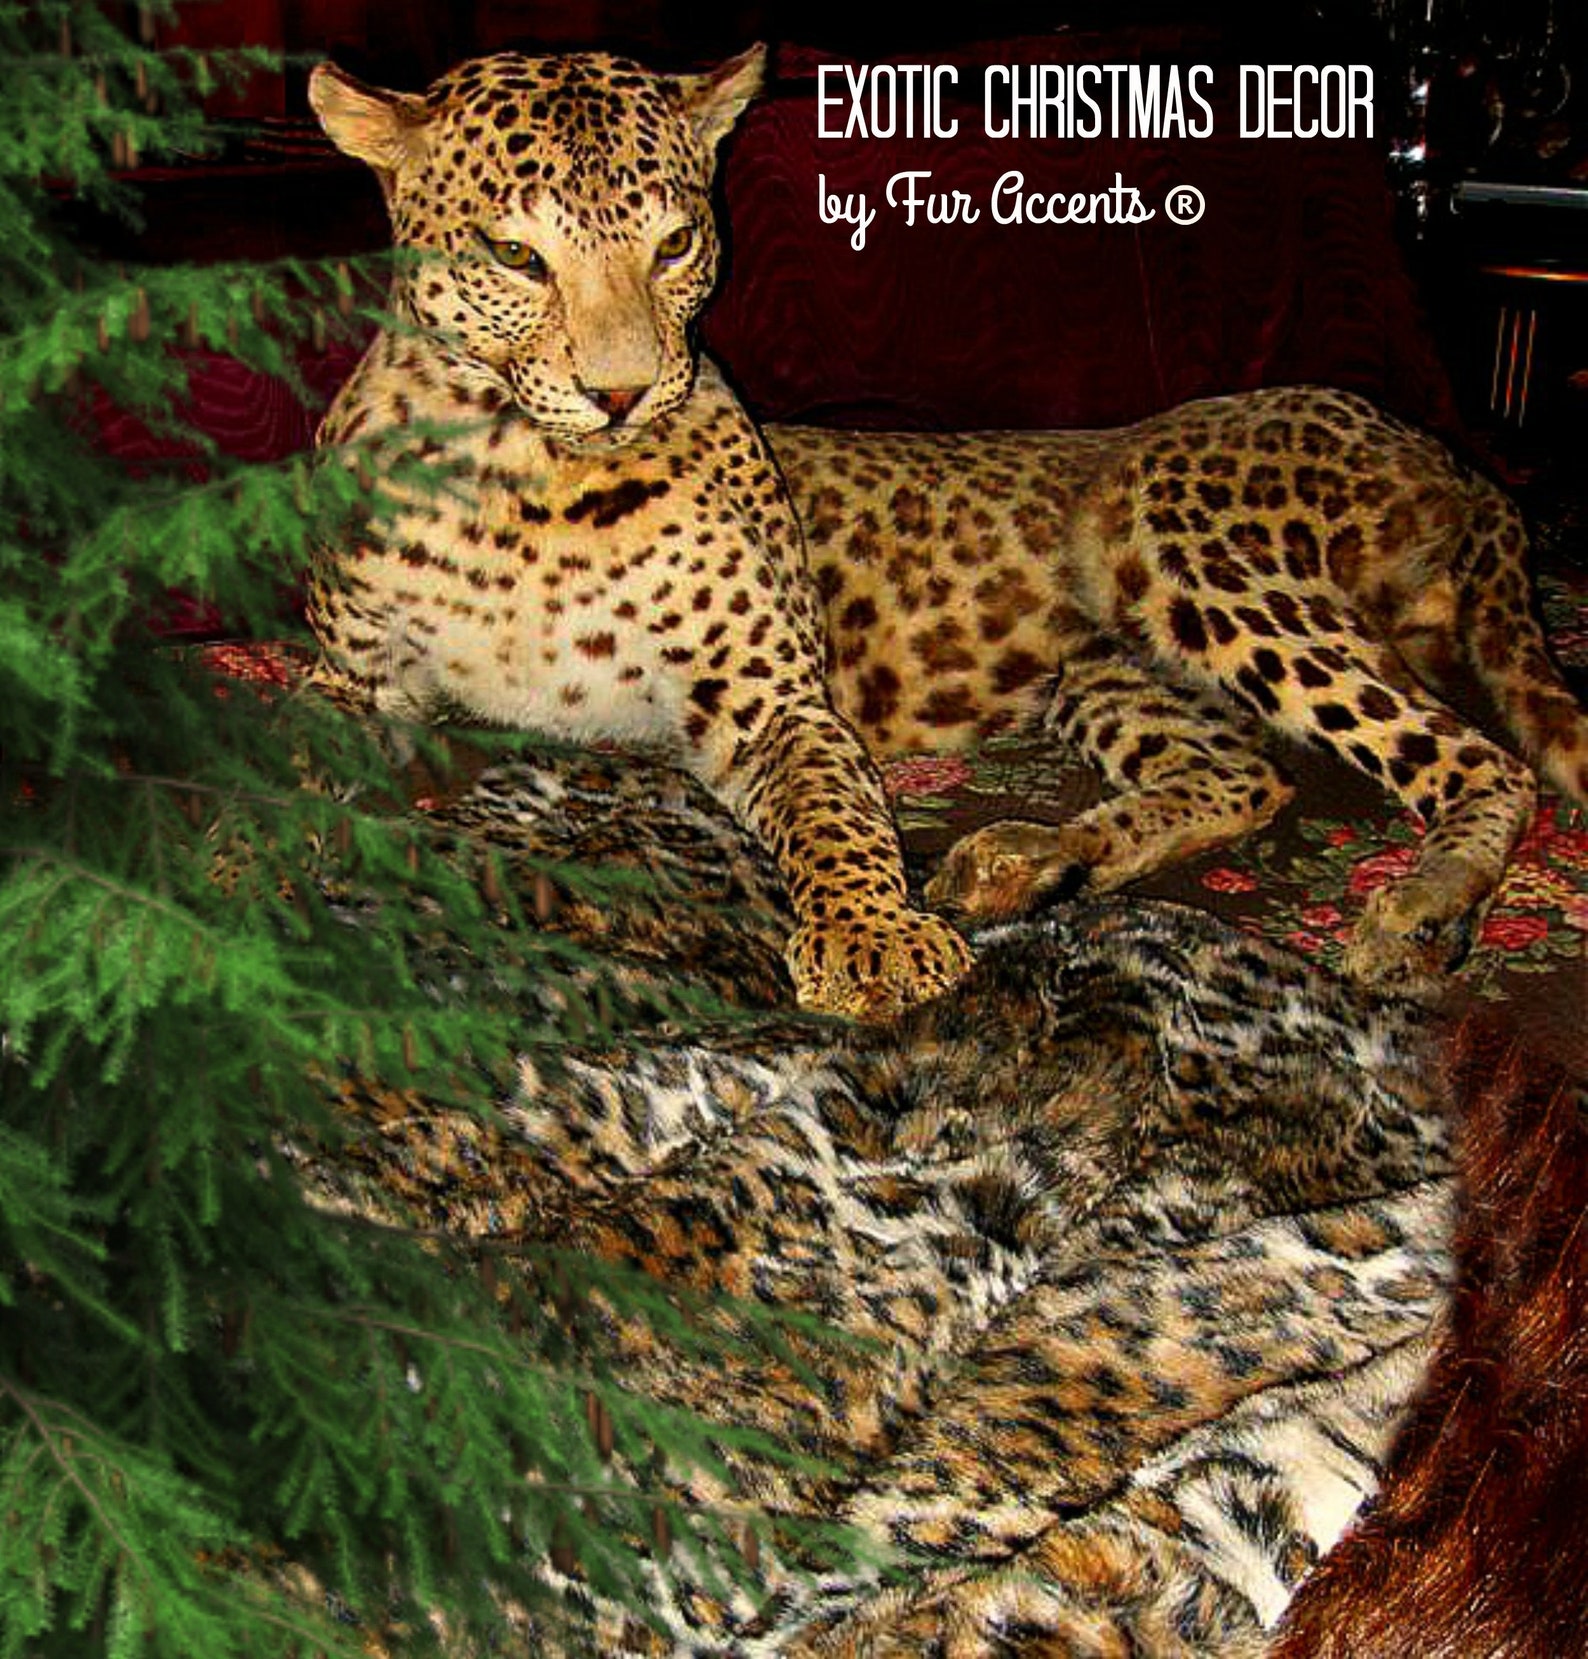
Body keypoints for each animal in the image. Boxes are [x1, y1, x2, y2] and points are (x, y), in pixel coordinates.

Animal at [305, 43, 1588, 1019]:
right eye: (515, 255)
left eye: (672, 246)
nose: (623, 393)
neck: (524, 473)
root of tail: (1447, 452)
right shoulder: (346, 678)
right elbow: (284, 767)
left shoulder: (773, 703)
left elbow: (835, 821)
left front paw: (875, 942)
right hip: (1103, 667)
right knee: (1241, 773)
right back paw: (1029, 860)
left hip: (1166, 519)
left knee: (1482, 761)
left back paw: (1414, 916)